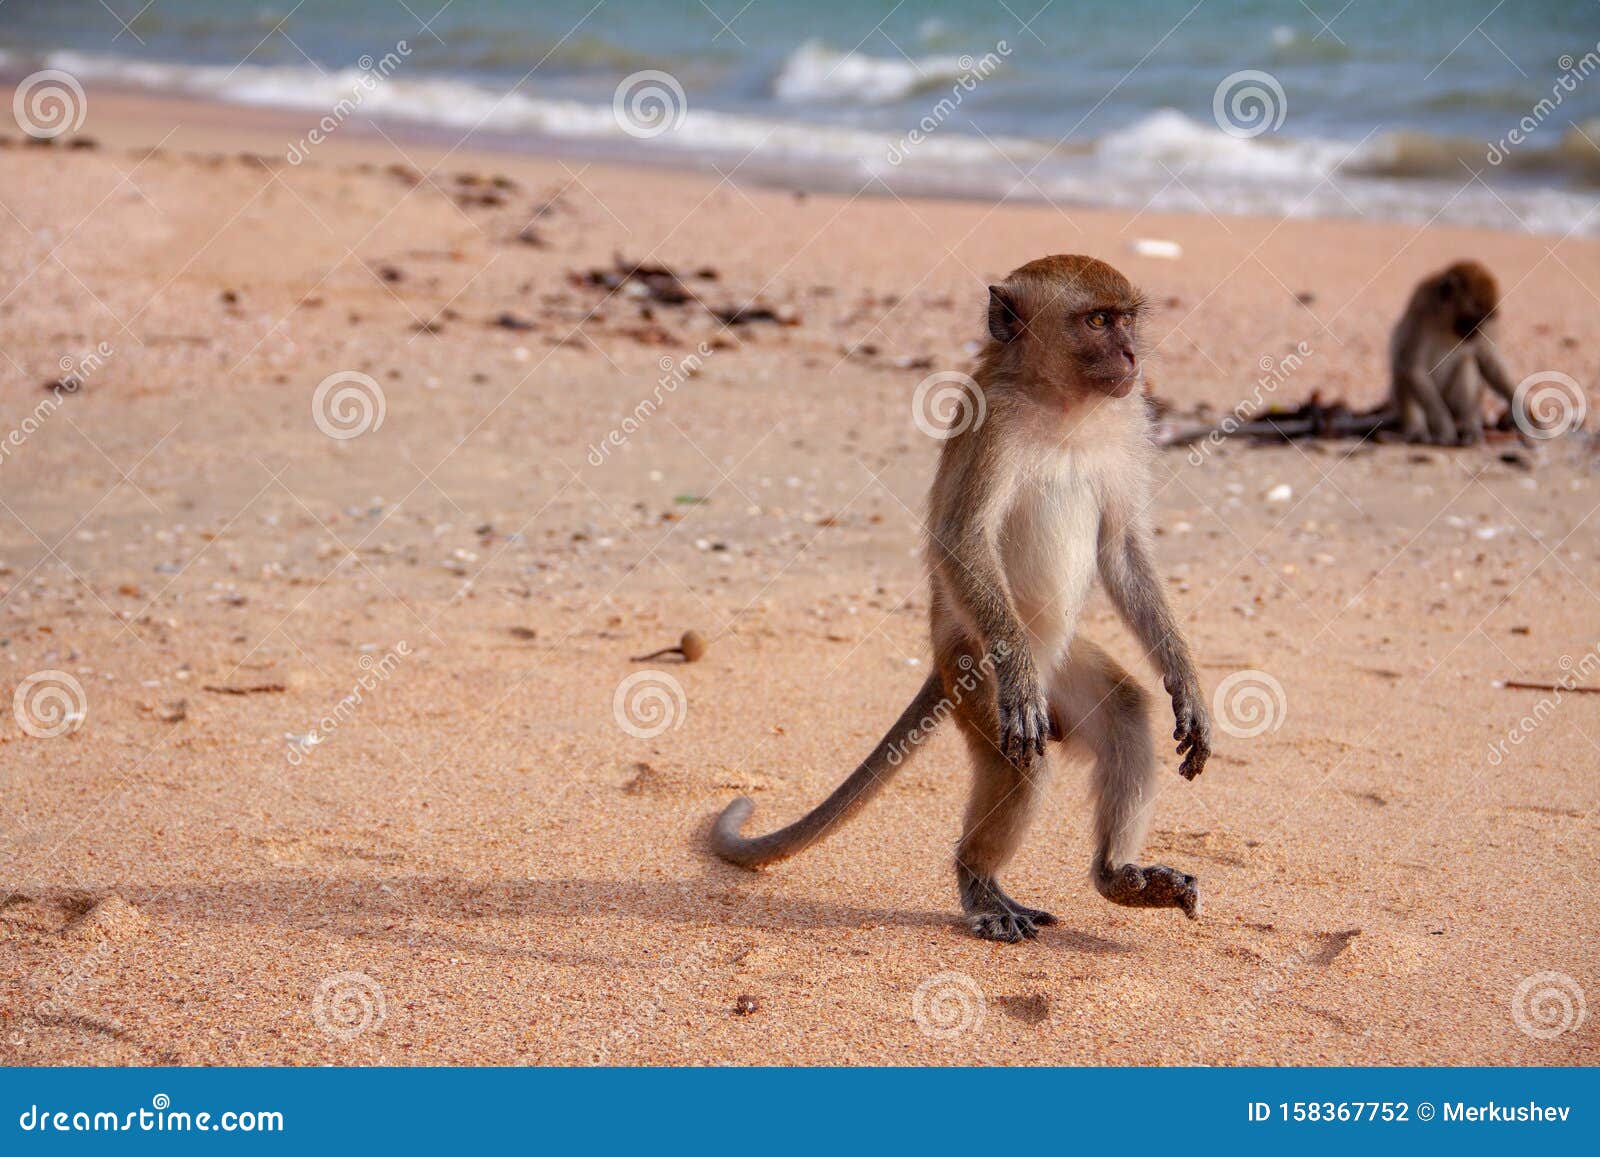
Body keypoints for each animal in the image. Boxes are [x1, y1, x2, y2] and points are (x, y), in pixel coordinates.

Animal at [712, 255, 1212, 943]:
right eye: (1097, 321)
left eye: (1127, 319)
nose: (1132, 355)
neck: (1062, 403)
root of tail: (941, 659)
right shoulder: (991, 423)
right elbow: (961, 538)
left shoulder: (1130, 417)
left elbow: (1123, 549)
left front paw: (1185, 682)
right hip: (974, 670)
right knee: (1020, 761)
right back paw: (979, 880)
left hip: (1058, 665)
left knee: (1124, 711)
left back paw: (1115, 874)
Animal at [1388, 260, 1518, 446]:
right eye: (1472, 318)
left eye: (1484, 320)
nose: (1474, 333)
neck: (1445, 321)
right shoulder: (1419, 307)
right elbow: (1412, 367)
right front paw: (1444, 427)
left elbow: (1488, 361)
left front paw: (1518, 405)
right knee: (1401, 371)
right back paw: (1417, 430)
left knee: (1467, 362)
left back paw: (1470, 427)